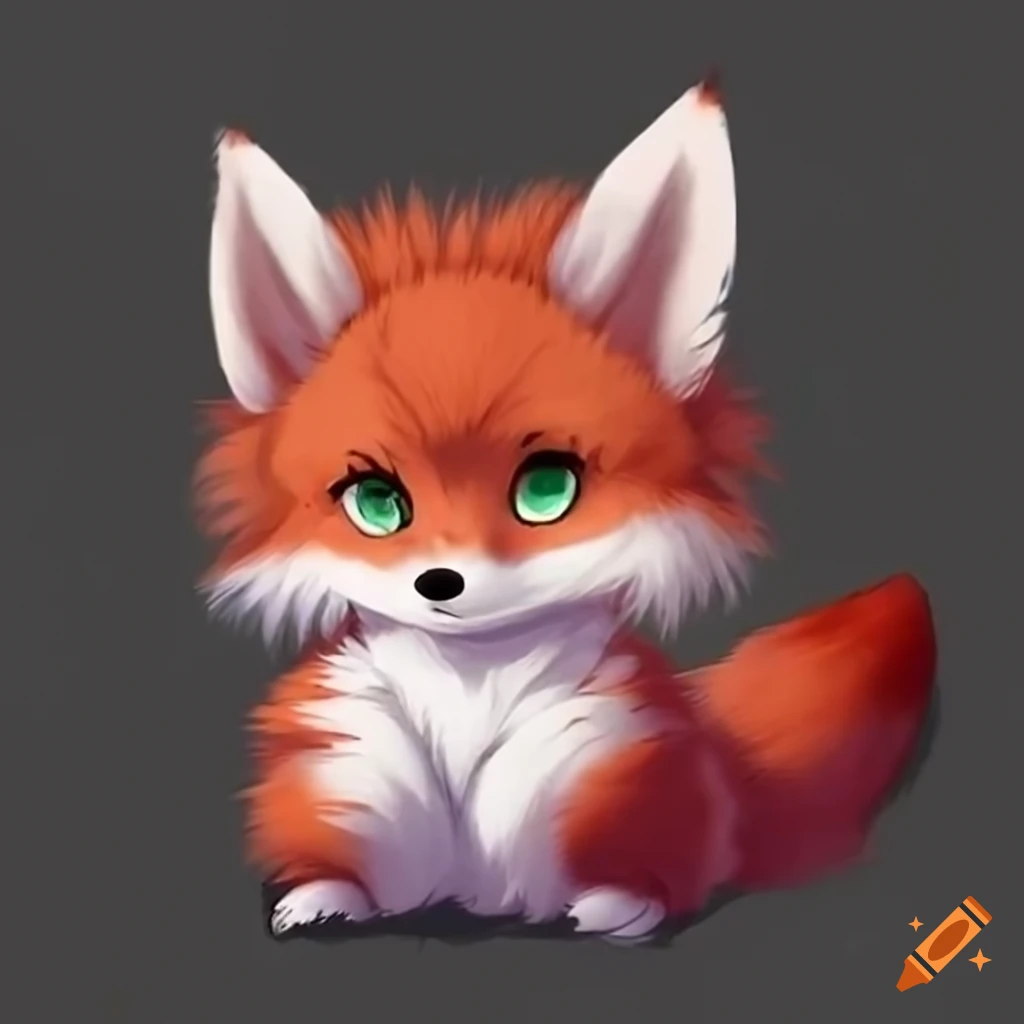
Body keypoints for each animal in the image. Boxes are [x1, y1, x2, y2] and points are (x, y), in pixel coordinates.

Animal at [195, 74, 937, 944]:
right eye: (377, 503)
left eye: (547, 488)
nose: (439, 584)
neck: (471, 682)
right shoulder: (344, 768)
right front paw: (320, 892)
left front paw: (626, 906)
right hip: (362, 776)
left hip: (577, 779)